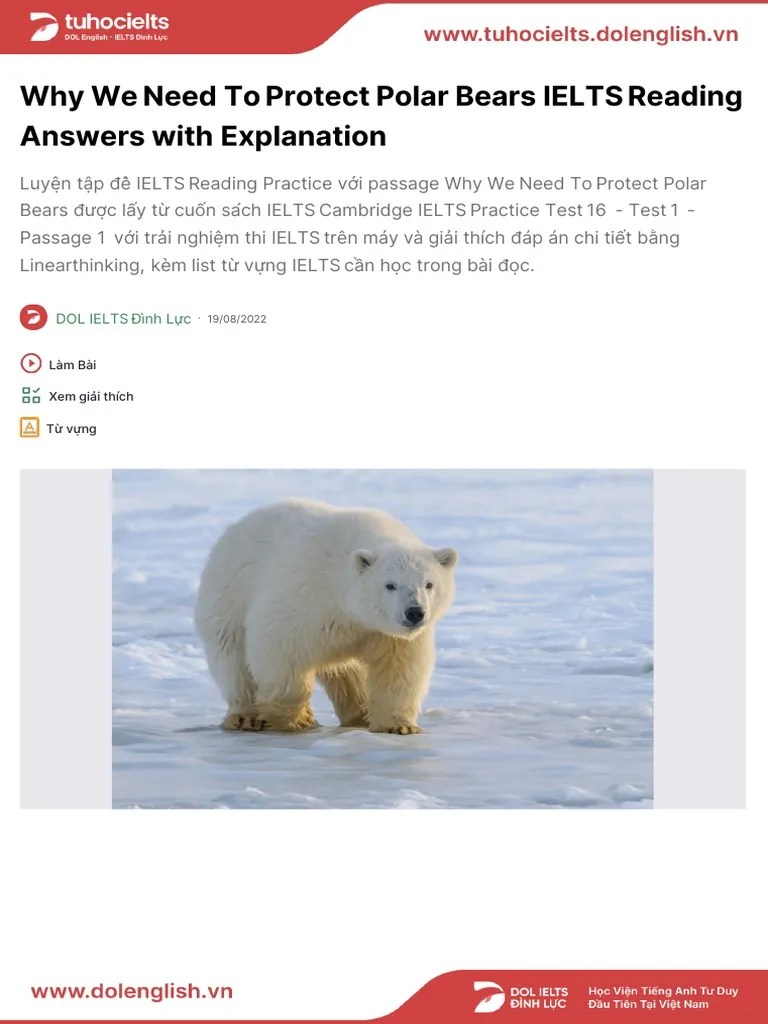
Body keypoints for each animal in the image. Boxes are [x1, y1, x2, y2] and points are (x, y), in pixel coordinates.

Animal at [194, 498, 458, 735]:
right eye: (390, 585)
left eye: (429, 584)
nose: (414, 612)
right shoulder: (306, 594)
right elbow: (278, 646)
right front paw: (296, 719)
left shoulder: (386, 634)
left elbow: (399, 669)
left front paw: (399, 726)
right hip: (228, 595)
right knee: (232, 658)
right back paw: (245, 716)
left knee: (346, 673)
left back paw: (359, 713)